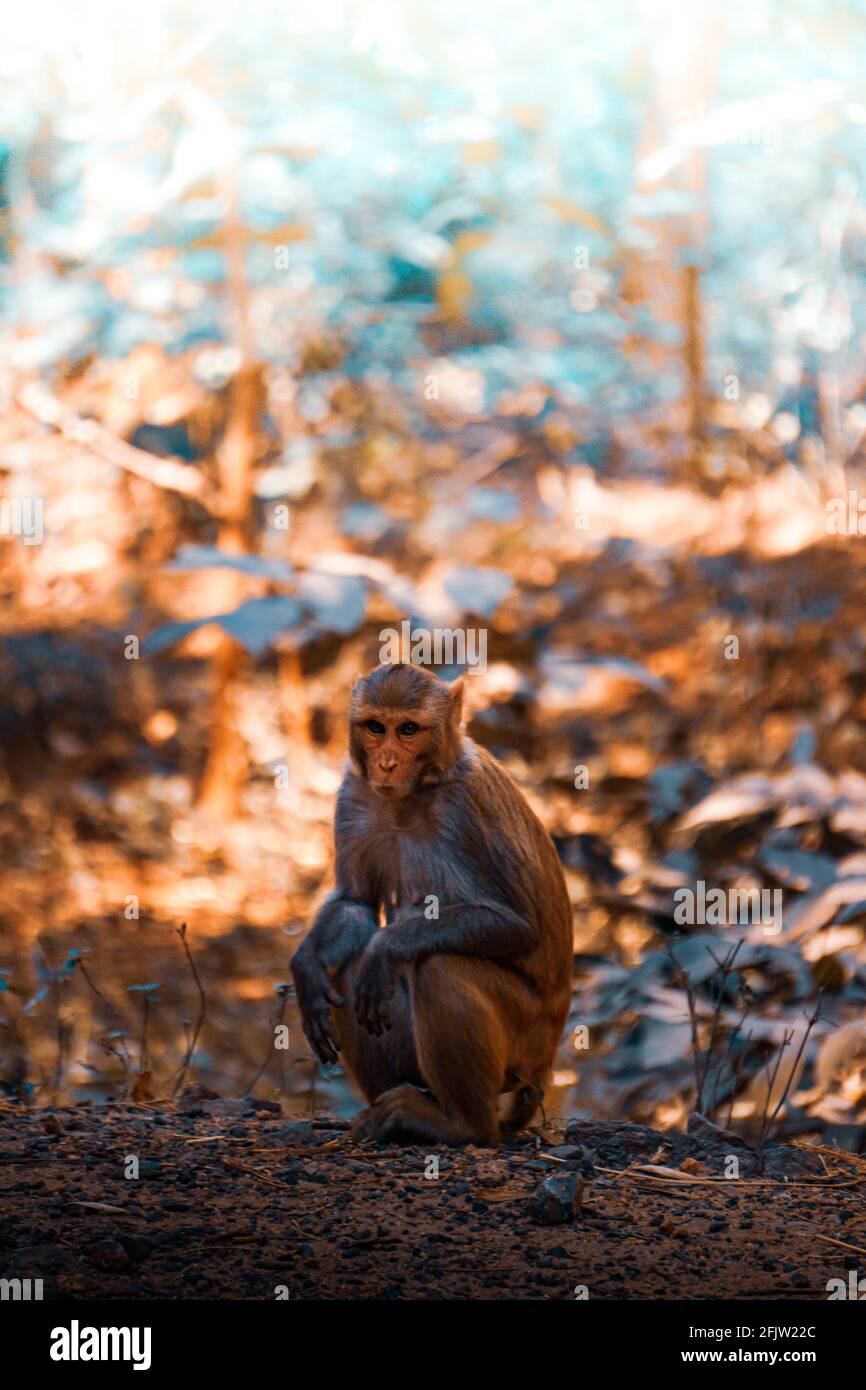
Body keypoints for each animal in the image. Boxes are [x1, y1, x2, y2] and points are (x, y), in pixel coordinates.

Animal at [290, 663, 573, 1145]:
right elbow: (356, 903)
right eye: (375, 727)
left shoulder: (468, 807)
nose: (386, 763)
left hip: (525, 1043)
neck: (417, 791)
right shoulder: (355, 793)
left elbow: (517, 924)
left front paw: (386, 947)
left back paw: (462, 1126)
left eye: (408, 729)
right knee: (349, 967)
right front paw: (306, 966)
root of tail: (545, 1064)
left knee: (439, 967)